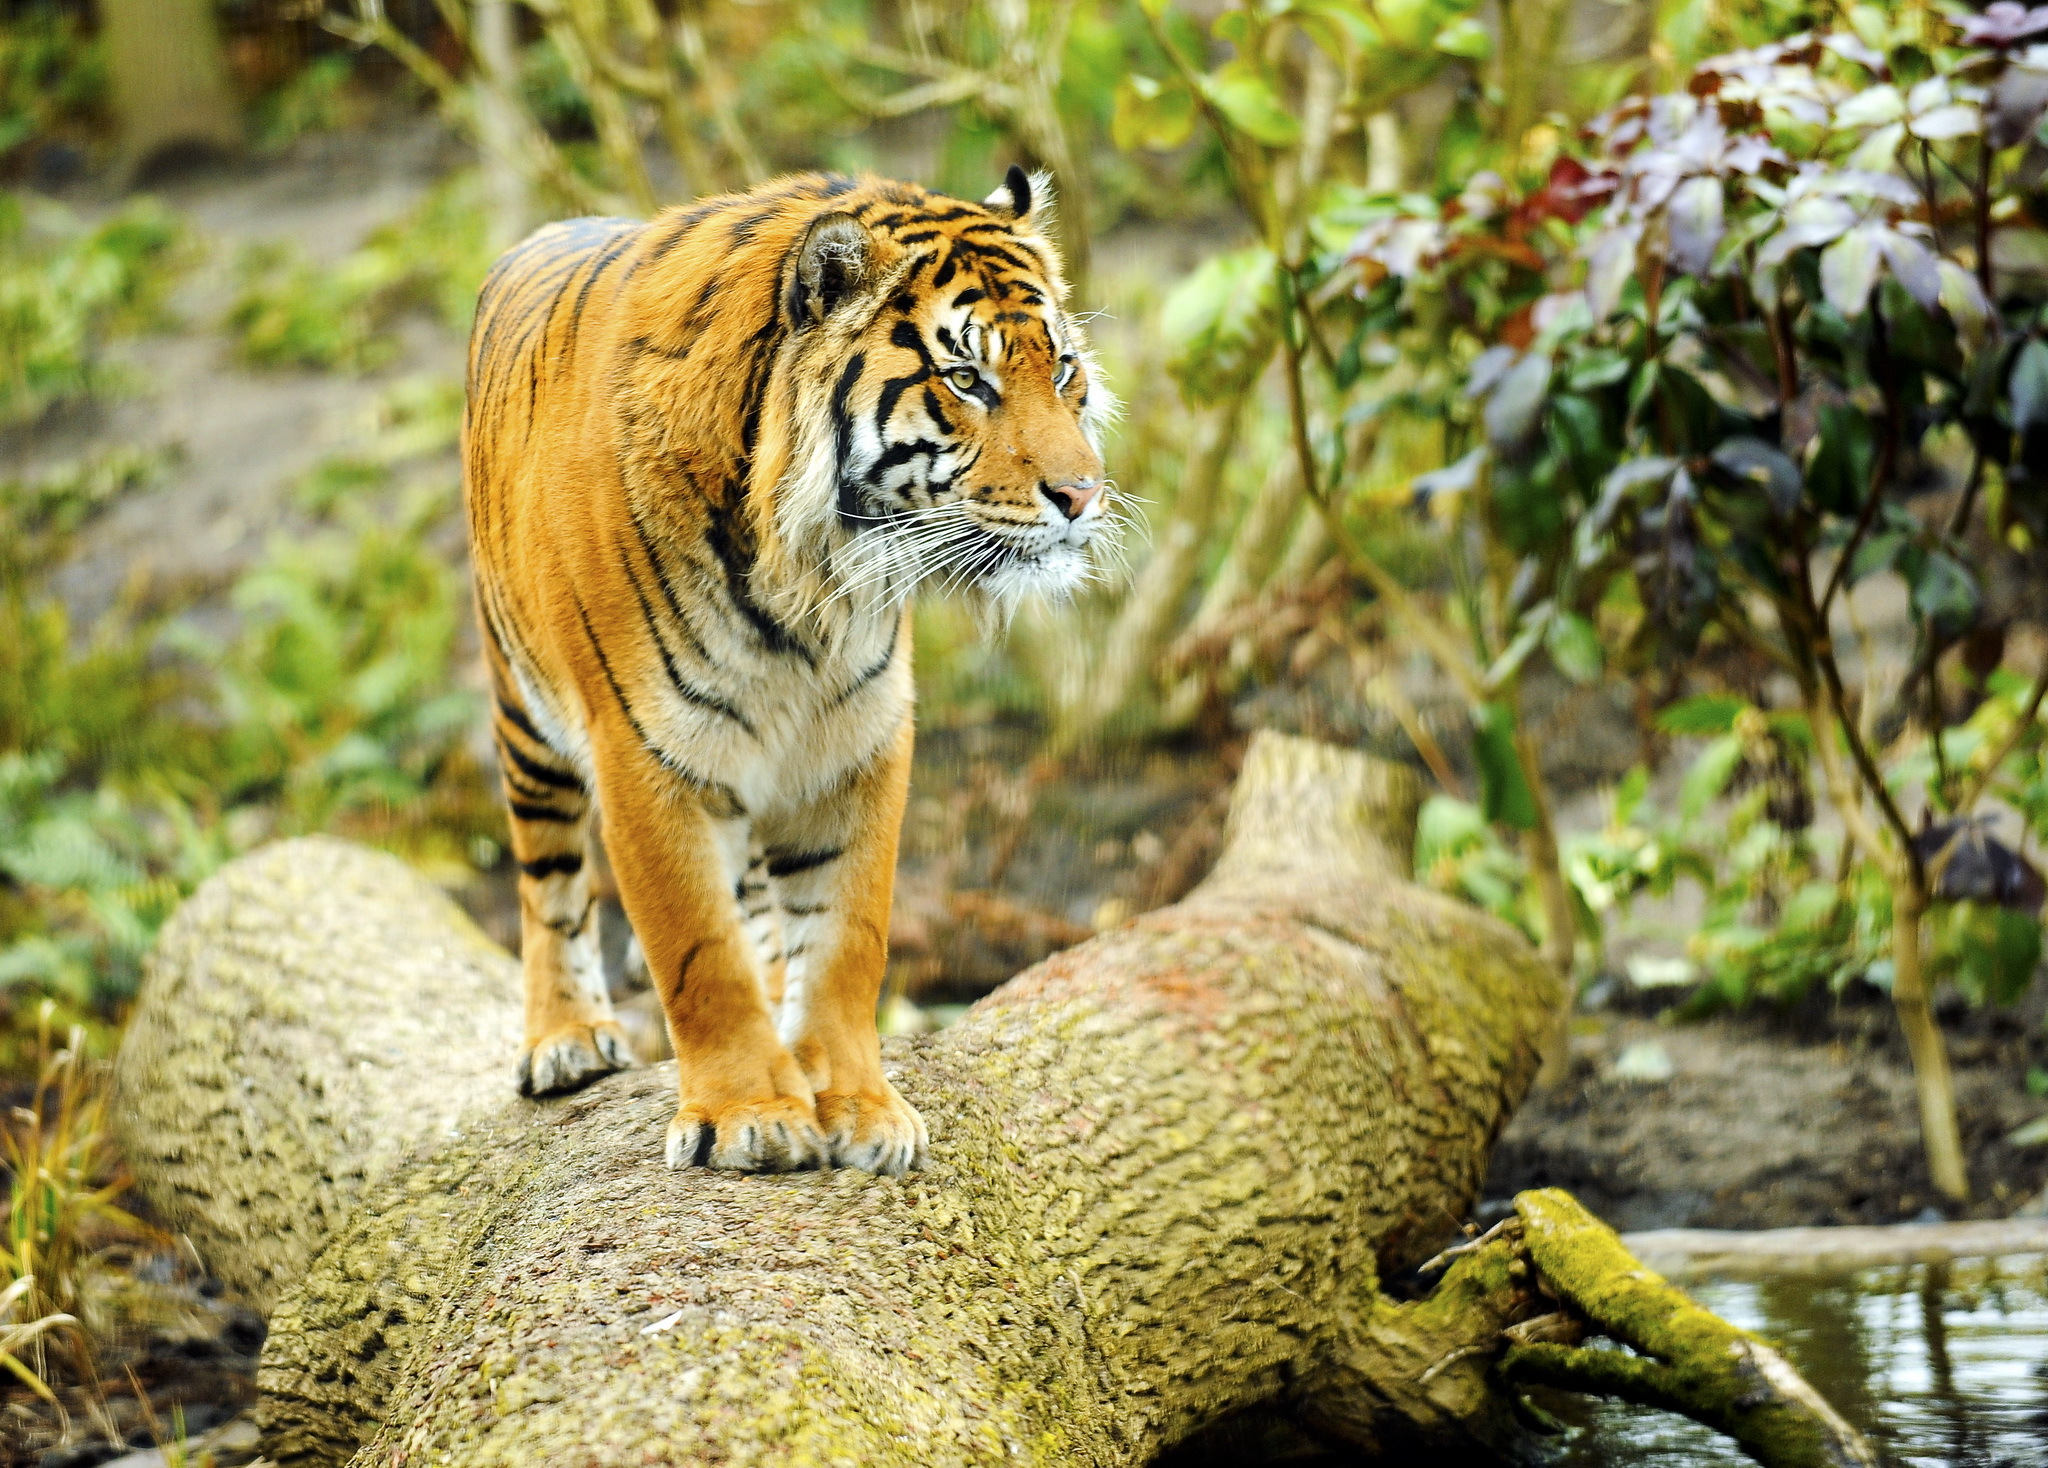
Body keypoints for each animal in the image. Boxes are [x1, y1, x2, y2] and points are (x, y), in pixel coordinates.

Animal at [463, 167, 1114, 1176]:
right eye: (967, 379)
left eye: (1064, 369)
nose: (1083, 496)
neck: (809, 579)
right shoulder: (644, 757)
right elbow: (698, 952)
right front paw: (751, 1115)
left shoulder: (855, 741)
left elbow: (846, 938)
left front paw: (858, 1106)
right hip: (523, 712)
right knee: (549, 881)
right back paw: (565, 1039)